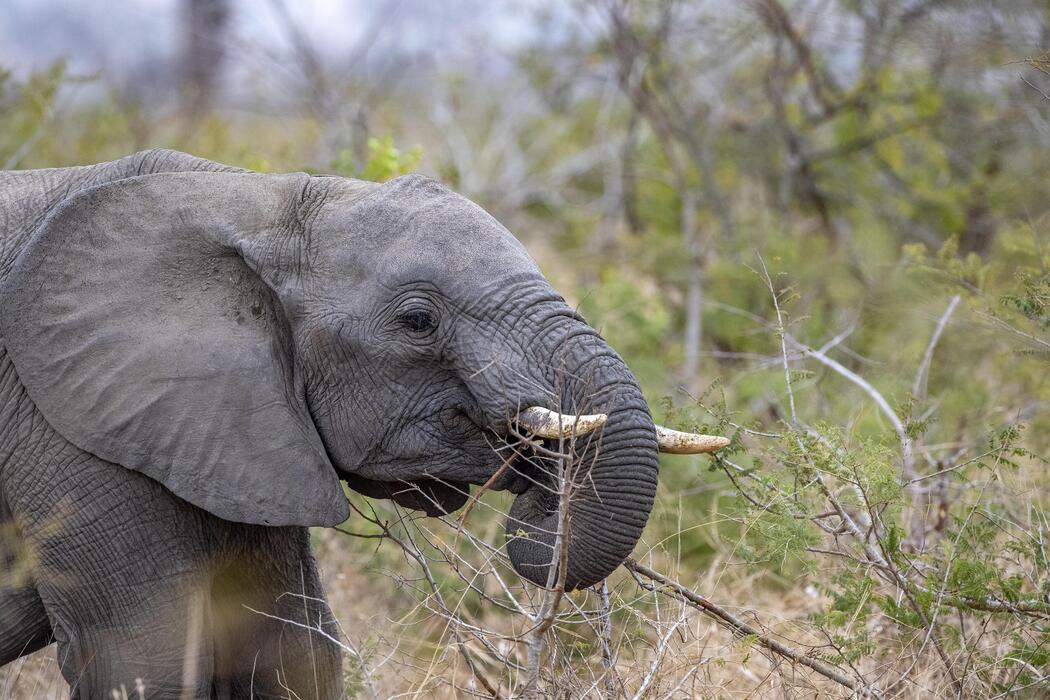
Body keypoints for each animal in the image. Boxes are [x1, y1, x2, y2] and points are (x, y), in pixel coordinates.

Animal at [0, 149, 727, 698]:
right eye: (417, 320)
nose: (539, 495)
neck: (252, 197)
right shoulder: (64, 430)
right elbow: (143, 663)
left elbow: (295, 652)